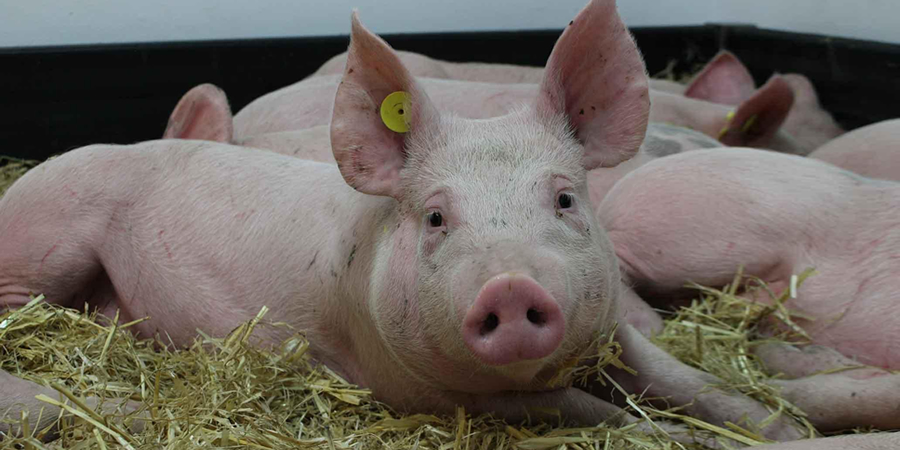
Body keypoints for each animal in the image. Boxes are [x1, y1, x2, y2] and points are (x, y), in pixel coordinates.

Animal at [0, 0, 806, 445]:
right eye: (437, 216)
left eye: (565, 201)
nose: (510, 285)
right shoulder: (429, 386)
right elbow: (584, 410)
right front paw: (670, 436)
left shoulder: (612, 328)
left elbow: (687, 378)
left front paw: (782, 430)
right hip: (43, 238)